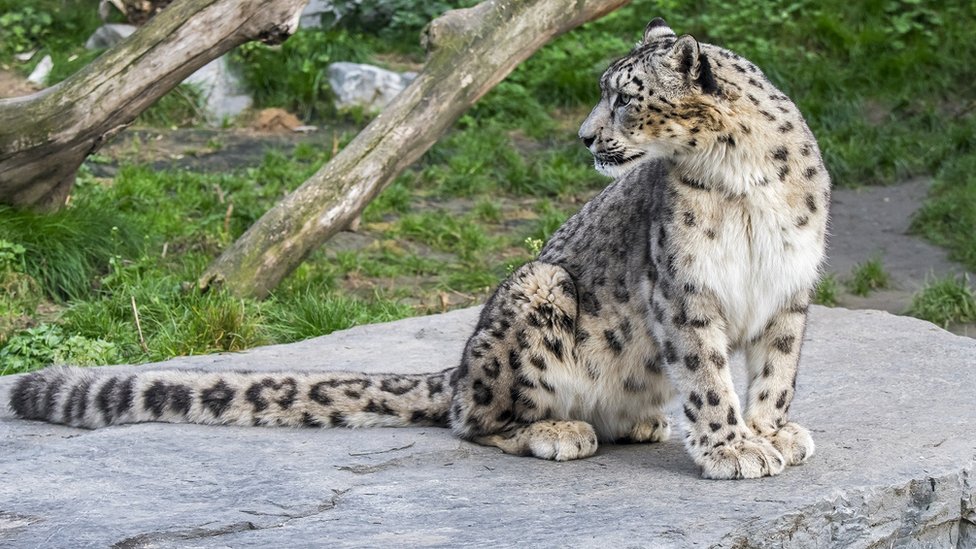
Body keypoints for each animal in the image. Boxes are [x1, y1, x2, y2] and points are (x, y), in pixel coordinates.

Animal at [8, 18, 829, 480]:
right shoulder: (687, 290)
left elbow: (776, 373)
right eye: (605, 92)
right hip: (535, 297)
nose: (585, 137)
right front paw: (732, 447)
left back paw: (643, 419)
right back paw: (558, 431)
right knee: (474, 421)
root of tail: (459, 365)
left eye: (625, 97)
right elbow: (710, 375)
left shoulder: (790, 288)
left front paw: (772, 433)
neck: (743, 181)